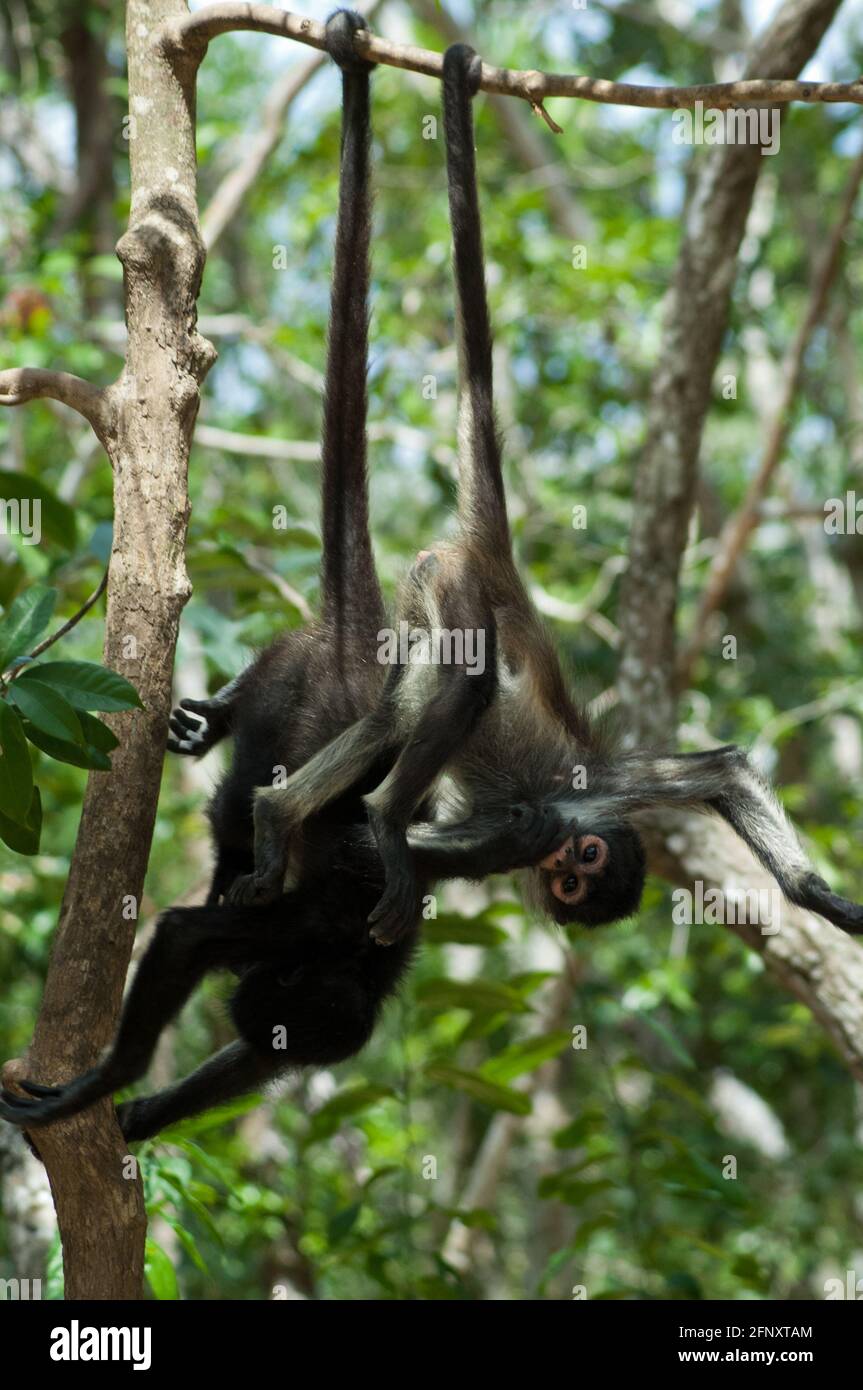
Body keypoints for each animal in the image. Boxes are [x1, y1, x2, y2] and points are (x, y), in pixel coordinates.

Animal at [224, 42, 863, 949]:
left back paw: (279, 814)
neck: (554, 815)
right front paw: (829, 899)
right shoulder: (582, 792)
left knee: (393, 714)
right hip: (459, 593)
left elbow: (723, 774)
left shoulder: (534, 816)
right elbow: (716, 769)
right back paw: (376, 814)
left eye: (580, 878)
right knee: (465, 685)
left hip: (425, 601)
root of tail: (497, 560)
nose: (565, 866)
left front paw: (820, 898)